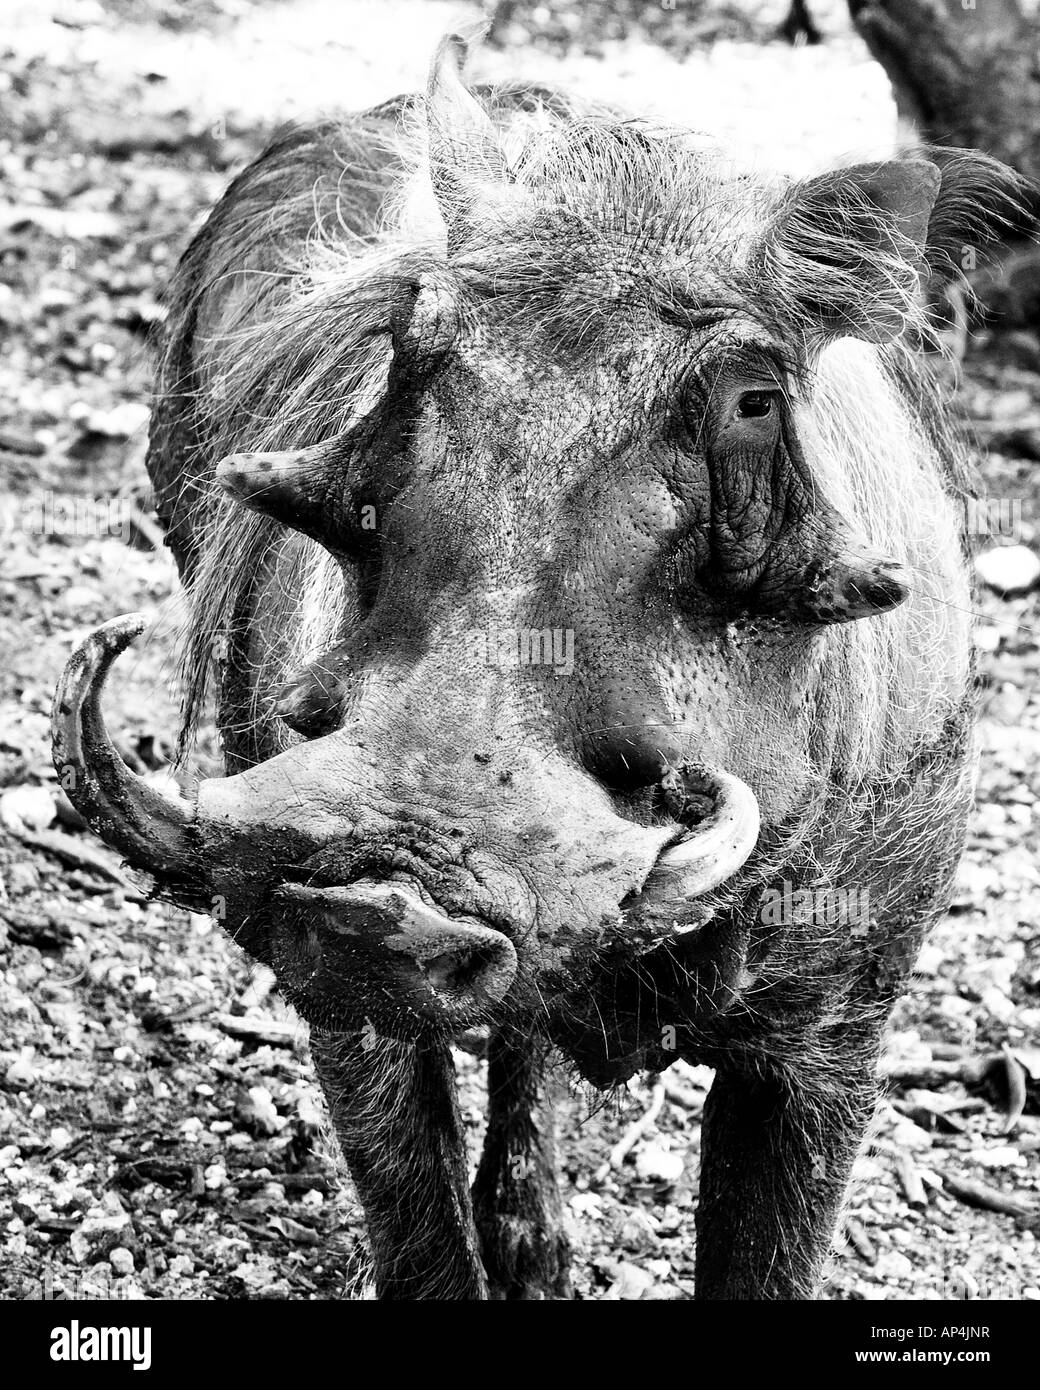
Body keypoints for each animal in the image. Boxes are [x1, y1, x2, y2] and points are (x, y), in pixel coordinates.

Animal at [52, 37, 1020, 1298]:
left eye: (753, 401)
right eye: (407, 344)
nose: (377, 895)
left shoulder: (836, 1036)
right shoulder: (348, 1011)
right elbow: (420, 1236)